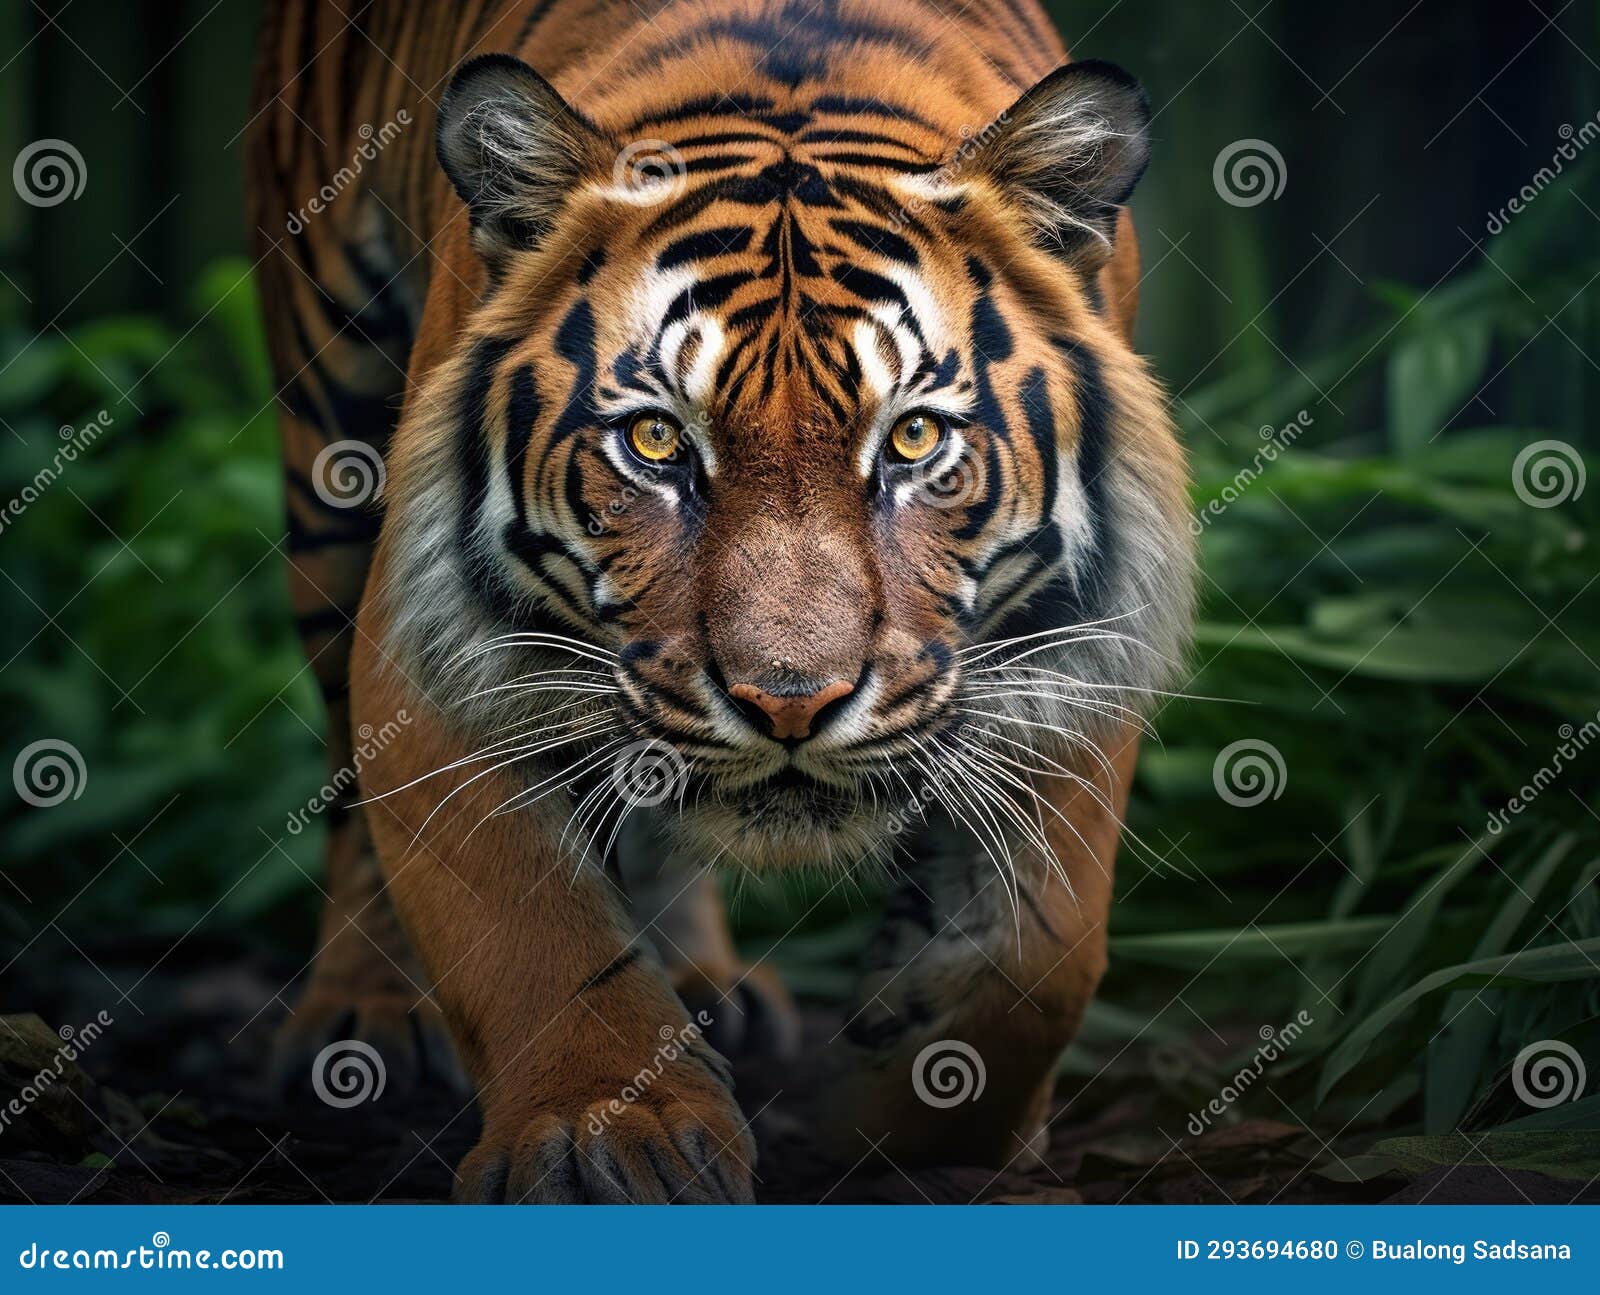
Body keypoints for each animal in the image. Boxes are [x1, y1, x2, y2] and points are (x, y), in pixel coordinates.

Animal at [246, 0, 1193, 1202]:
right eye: (656, 440)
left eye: (914, 439)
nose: (789, 702)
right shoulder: (430, 644)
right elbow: (527, 926)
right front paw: (604, 1141)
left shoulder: (1080, 644)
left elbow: (1042, 948)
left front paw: (914, 1123)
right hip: (328, 440)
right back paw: (361, 1015)